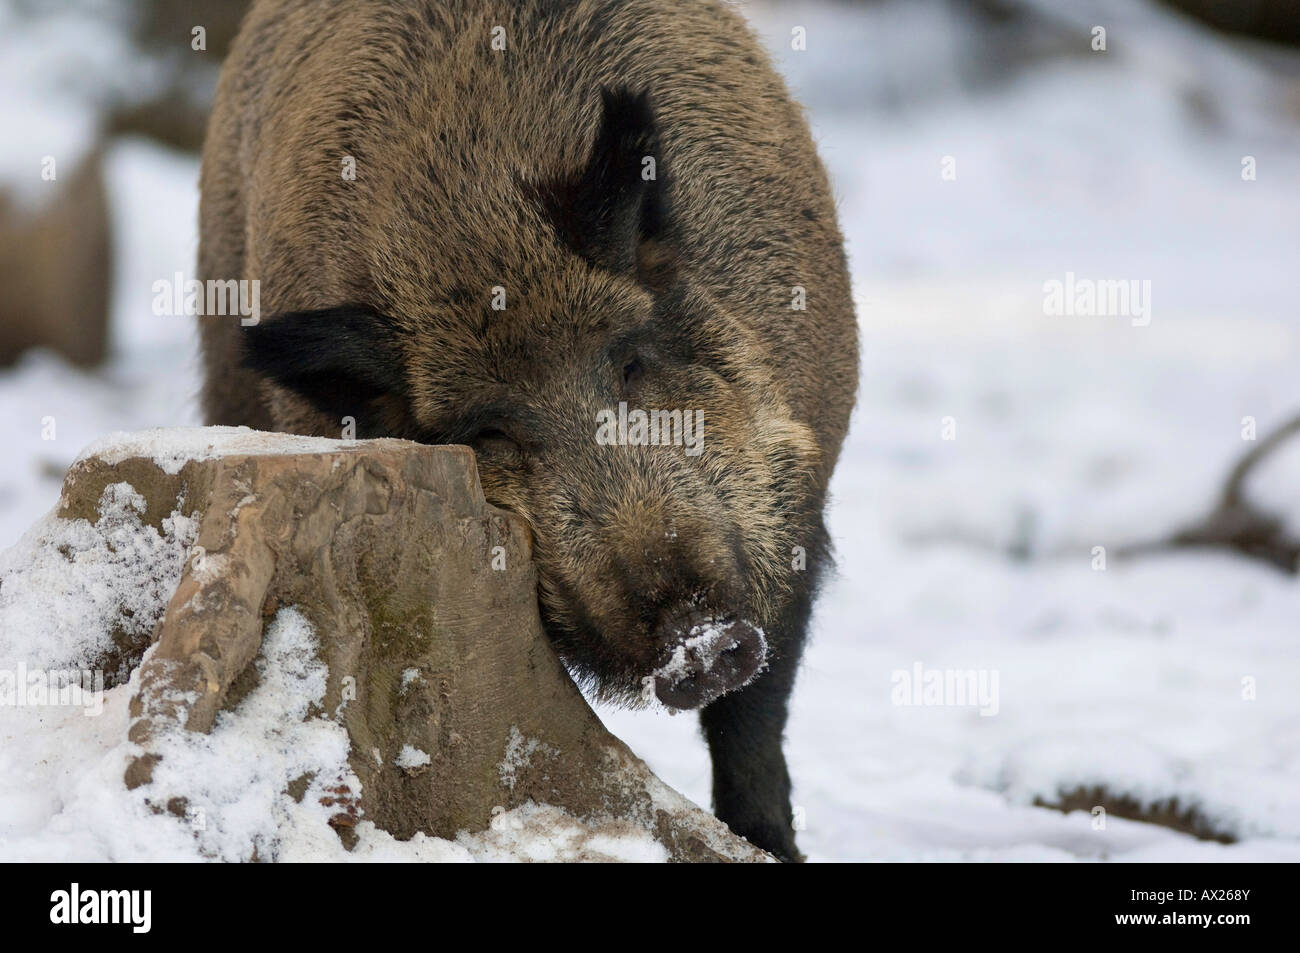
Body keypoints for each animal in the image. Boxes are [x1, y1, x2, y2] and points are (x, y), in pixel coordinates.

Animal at [197, 0, 858, 861]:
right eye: (491, 431)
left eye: (631, 360)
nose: (701, 639)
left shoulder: (794, 501)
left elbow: (756, 712)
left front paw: (769, 843)